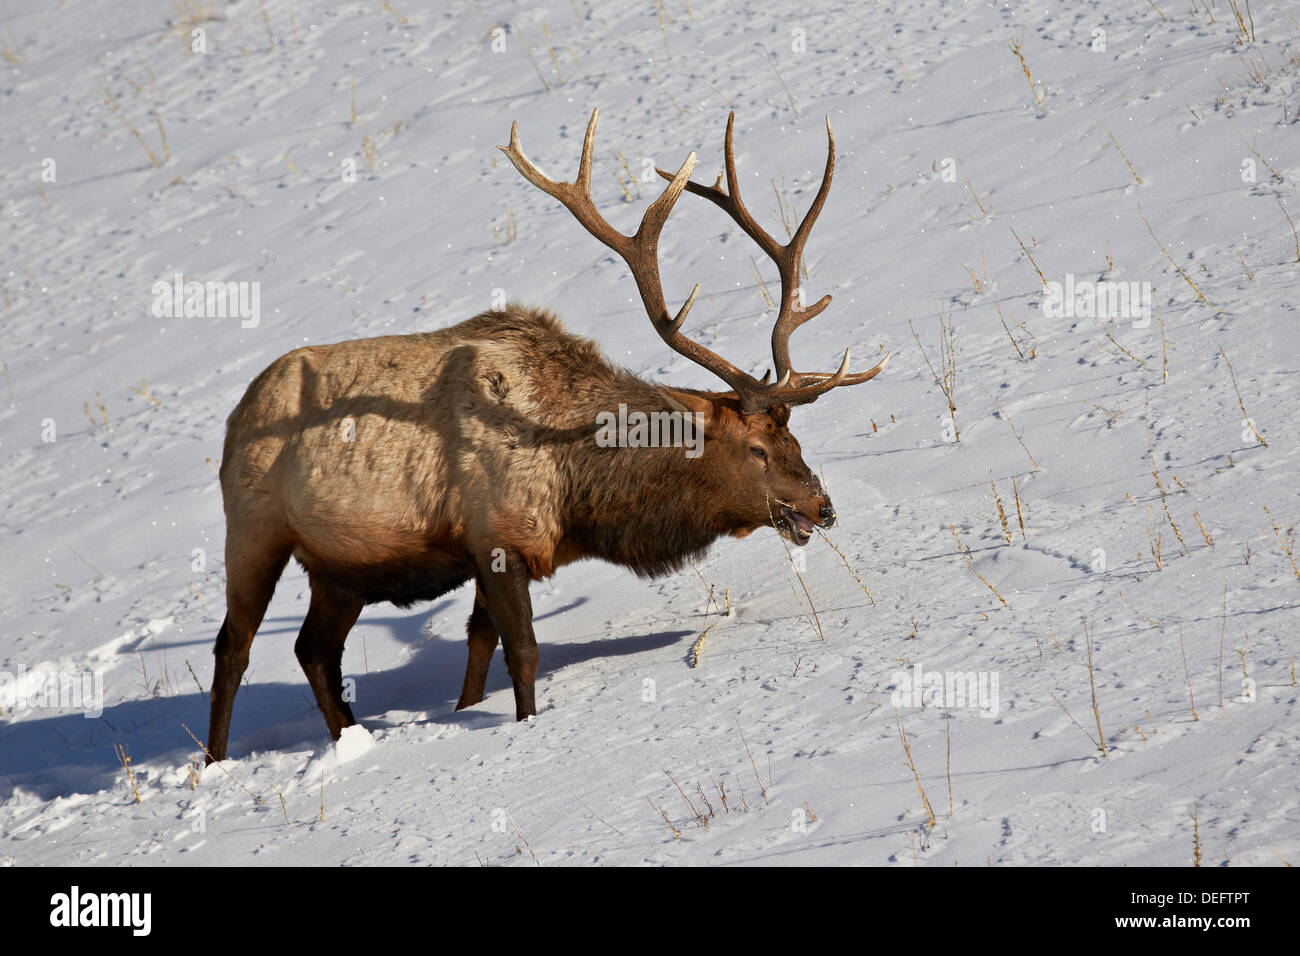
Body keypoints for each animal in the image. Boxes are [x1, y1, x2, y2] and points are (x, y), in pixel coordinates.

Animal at [204, 109, 888, 763]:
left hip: (338, 567)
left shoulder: (490, 548)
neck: (580, 488)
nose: (822, 506)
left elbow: (479, 650)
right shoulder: (498, 539)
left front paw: (467, 712)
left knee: (313, 650)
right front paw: (525, 726)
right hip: (254, 530)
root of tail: (236, 416)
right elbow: (524, 652)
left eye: (796, 440)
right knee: (233, 647)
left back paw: (348, 740)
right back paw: (214, 763)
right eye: (758, 449)